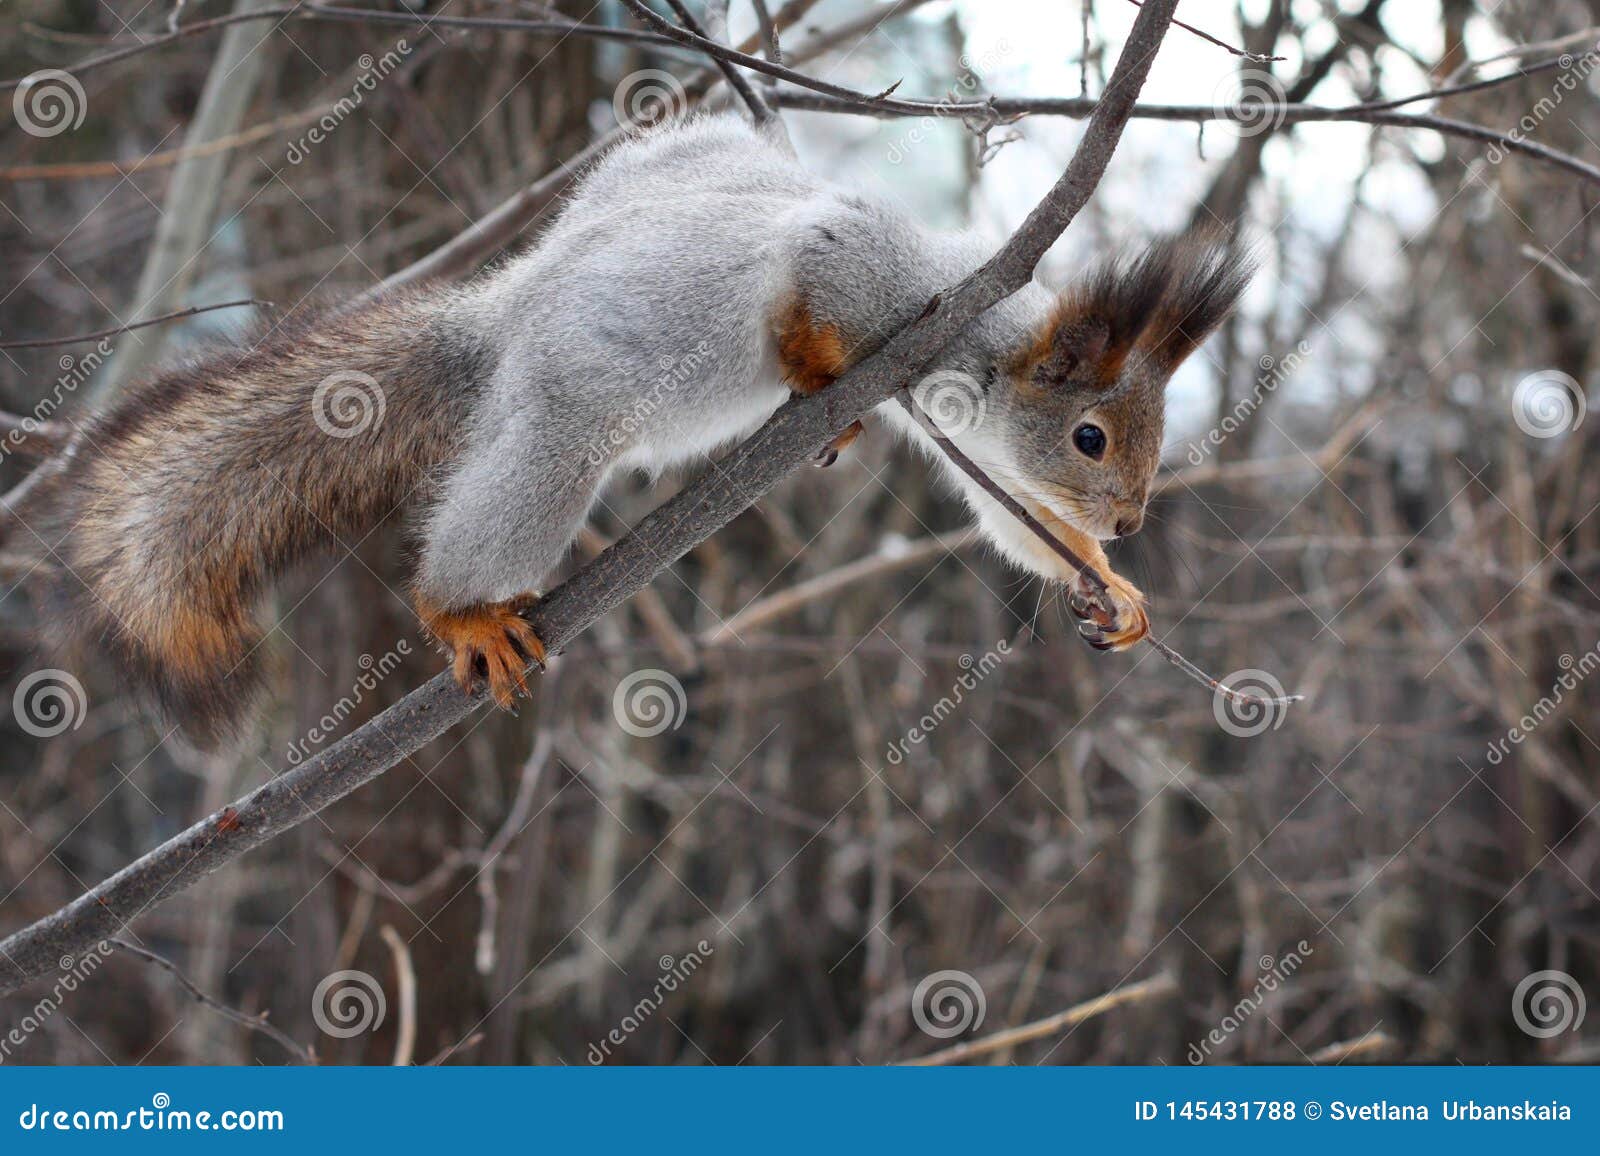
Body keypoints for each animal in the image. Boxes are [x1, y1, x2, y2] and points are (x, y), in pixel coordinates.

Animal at [11, 114, 1251, 746]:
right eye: (1091, 436)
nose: (1131, 522)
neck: (993, 353)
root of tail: (508, 311)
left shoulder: (971, 454)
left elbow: (1013, 528)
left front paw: (1111, 590)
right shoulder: (891, 291)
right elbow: (815, 274)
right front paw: (808, 363)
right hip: (562, 424)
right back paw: (463, 614)